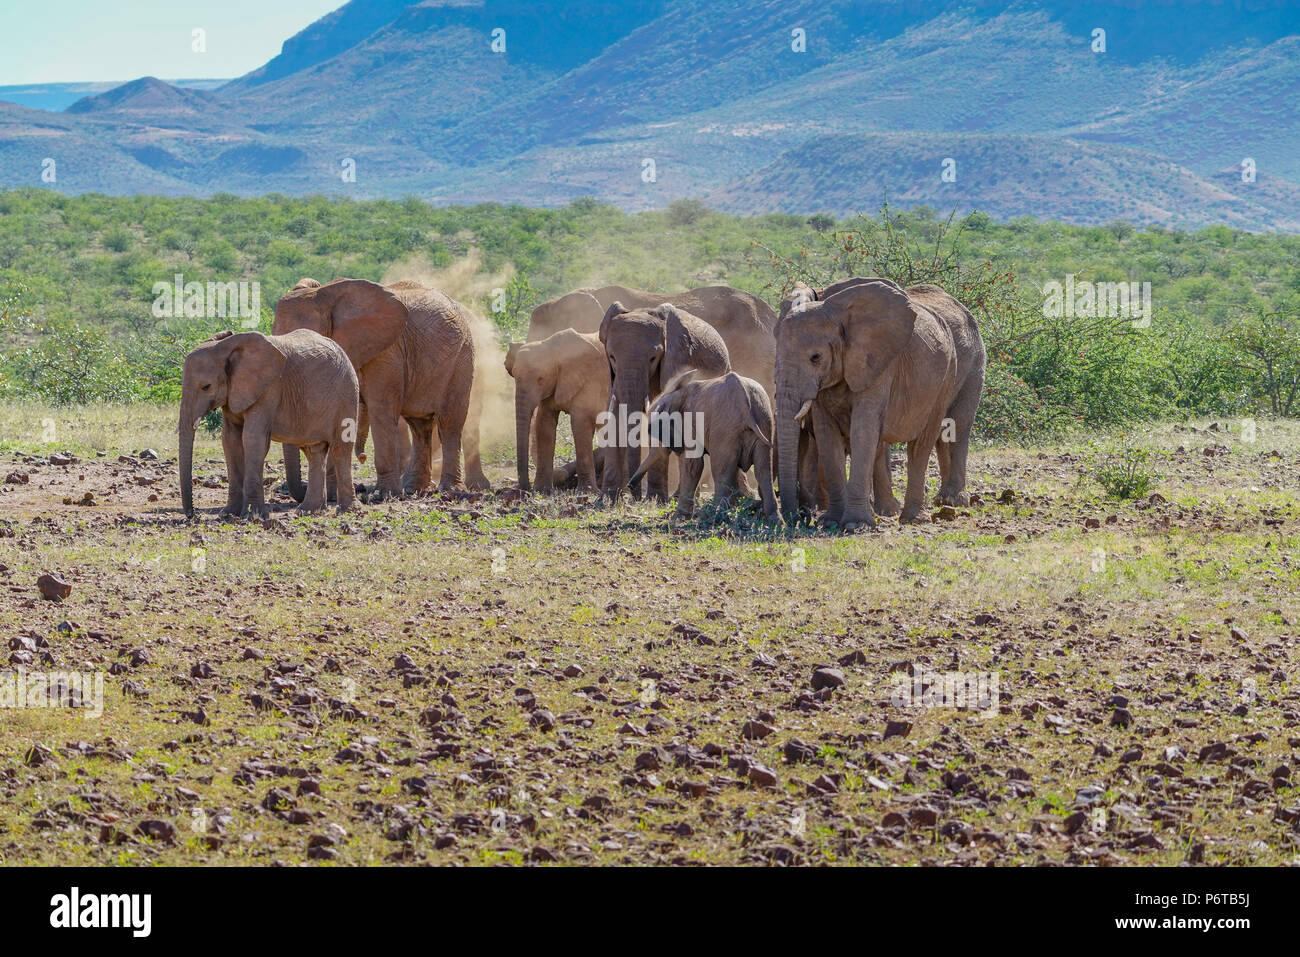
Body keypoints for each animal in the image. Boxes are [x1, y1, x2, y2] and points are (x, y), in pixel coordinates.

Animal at [179, 329, 358, 518]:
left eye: (206, 386)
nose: (192, 515)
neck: (225, 347)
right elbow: (230, 440)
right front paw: (228, 513)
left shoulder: (269, 388)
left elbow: (252, 438)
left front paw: (252, 515)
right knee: (314, 451)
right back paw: (308, 511)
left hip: (346, 393)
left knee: (340, 449)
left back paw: (346, 510)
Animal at [272, 278, 488, 500]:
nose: (362, 456)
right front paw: (332, 497)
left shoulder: (387, 353)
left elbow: (381, 410)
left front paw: (384, 495)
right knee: (420, 426)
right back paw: (413, 489)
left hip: (462, 356)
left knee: (450, 422)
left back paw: (449, 490)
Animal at [504, 329, 610, 493]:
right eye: (514, 377)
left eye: (541, 379)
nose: (526, 489)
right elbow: (544, 423)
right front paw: (543, 491)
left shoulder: (589, 380)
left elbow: (580, 423)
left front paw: (586, 492)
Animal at [630, 370, 778, 521]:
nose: (629, 486)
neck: (676, 394)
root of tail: (745, 401)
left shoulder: (690, 423)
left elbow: (693, 465)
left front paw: (679, 518)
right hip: (763, 419)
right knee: (763, 469)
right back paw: (774, 519)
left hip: (724, 428)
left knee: (721, 470)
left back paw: (714, 515)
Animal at [774, 278, 985, 531]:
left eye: (816, 357)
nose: (797, 518)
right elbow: (827, 433)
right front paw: (830, 521)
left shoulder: (879, 362)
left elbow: (863, 428)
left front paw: (855, 525)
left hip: (956, 371)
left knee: (940, 433)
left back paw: (927, 512)